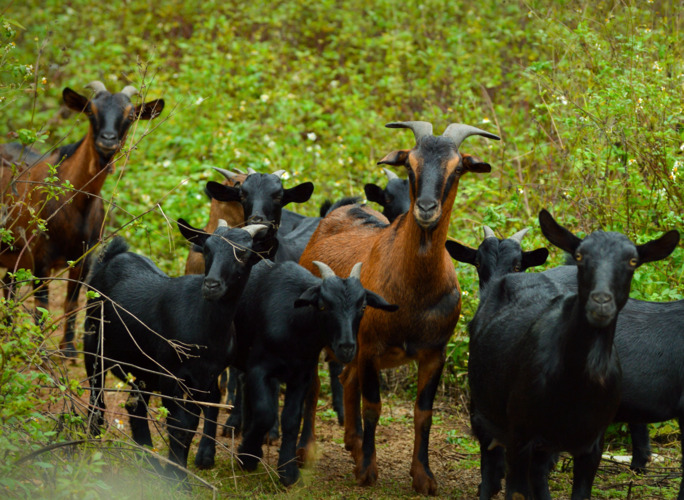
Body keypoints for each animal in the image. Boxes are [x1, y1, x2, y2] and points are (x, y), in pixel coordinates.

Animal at [0, 81, 164, 356]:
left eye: (130, 115)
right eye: (91, 111)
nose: (108, 140)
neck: (75, 206)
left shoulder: (83, 259)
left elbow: (71, 301)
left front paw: (68, 349)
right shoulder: (40, 257)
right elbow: (42, 305)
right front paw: (40, 351)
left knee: (7, 287)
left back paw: (9, 332)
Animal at [83, 219, 267, 480]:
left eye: (243, 253)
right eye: (207, 248)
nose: (211, 284)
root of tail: (113, 256)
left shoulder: (204, 379)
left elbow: (190, 426)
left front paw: (174, 474)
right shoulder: (171, 375)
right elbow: (178, 426)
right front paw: (177, 479)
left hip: (143, 367)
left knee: (135, 407)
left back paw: (149, 460)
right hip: (93, 343)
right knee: (97, 397)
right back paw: (93, 443)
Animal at [232, 259, 397, 486]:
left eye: (362, 306)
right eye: (323, 305)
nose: (346, 347)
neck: (294, 323)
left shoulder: (301, 375)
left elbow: (292, 419)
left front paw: (288, 472)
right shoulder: (258, 367)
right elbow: (265, 413)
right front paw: (246, 458)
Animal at [299, 120, 500, 495]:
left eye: (457, 168)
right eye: (410, 164)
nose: (426, 209)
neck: (413, 295)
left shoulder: (434, 352)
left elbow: (424, 413)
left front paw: (423, 476)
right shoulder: (370, 348)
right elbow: (373, 405)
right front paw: (367, 470)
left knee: (346, 379)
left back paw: (353, 443)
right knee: (314, 384)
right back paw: (307, 450)